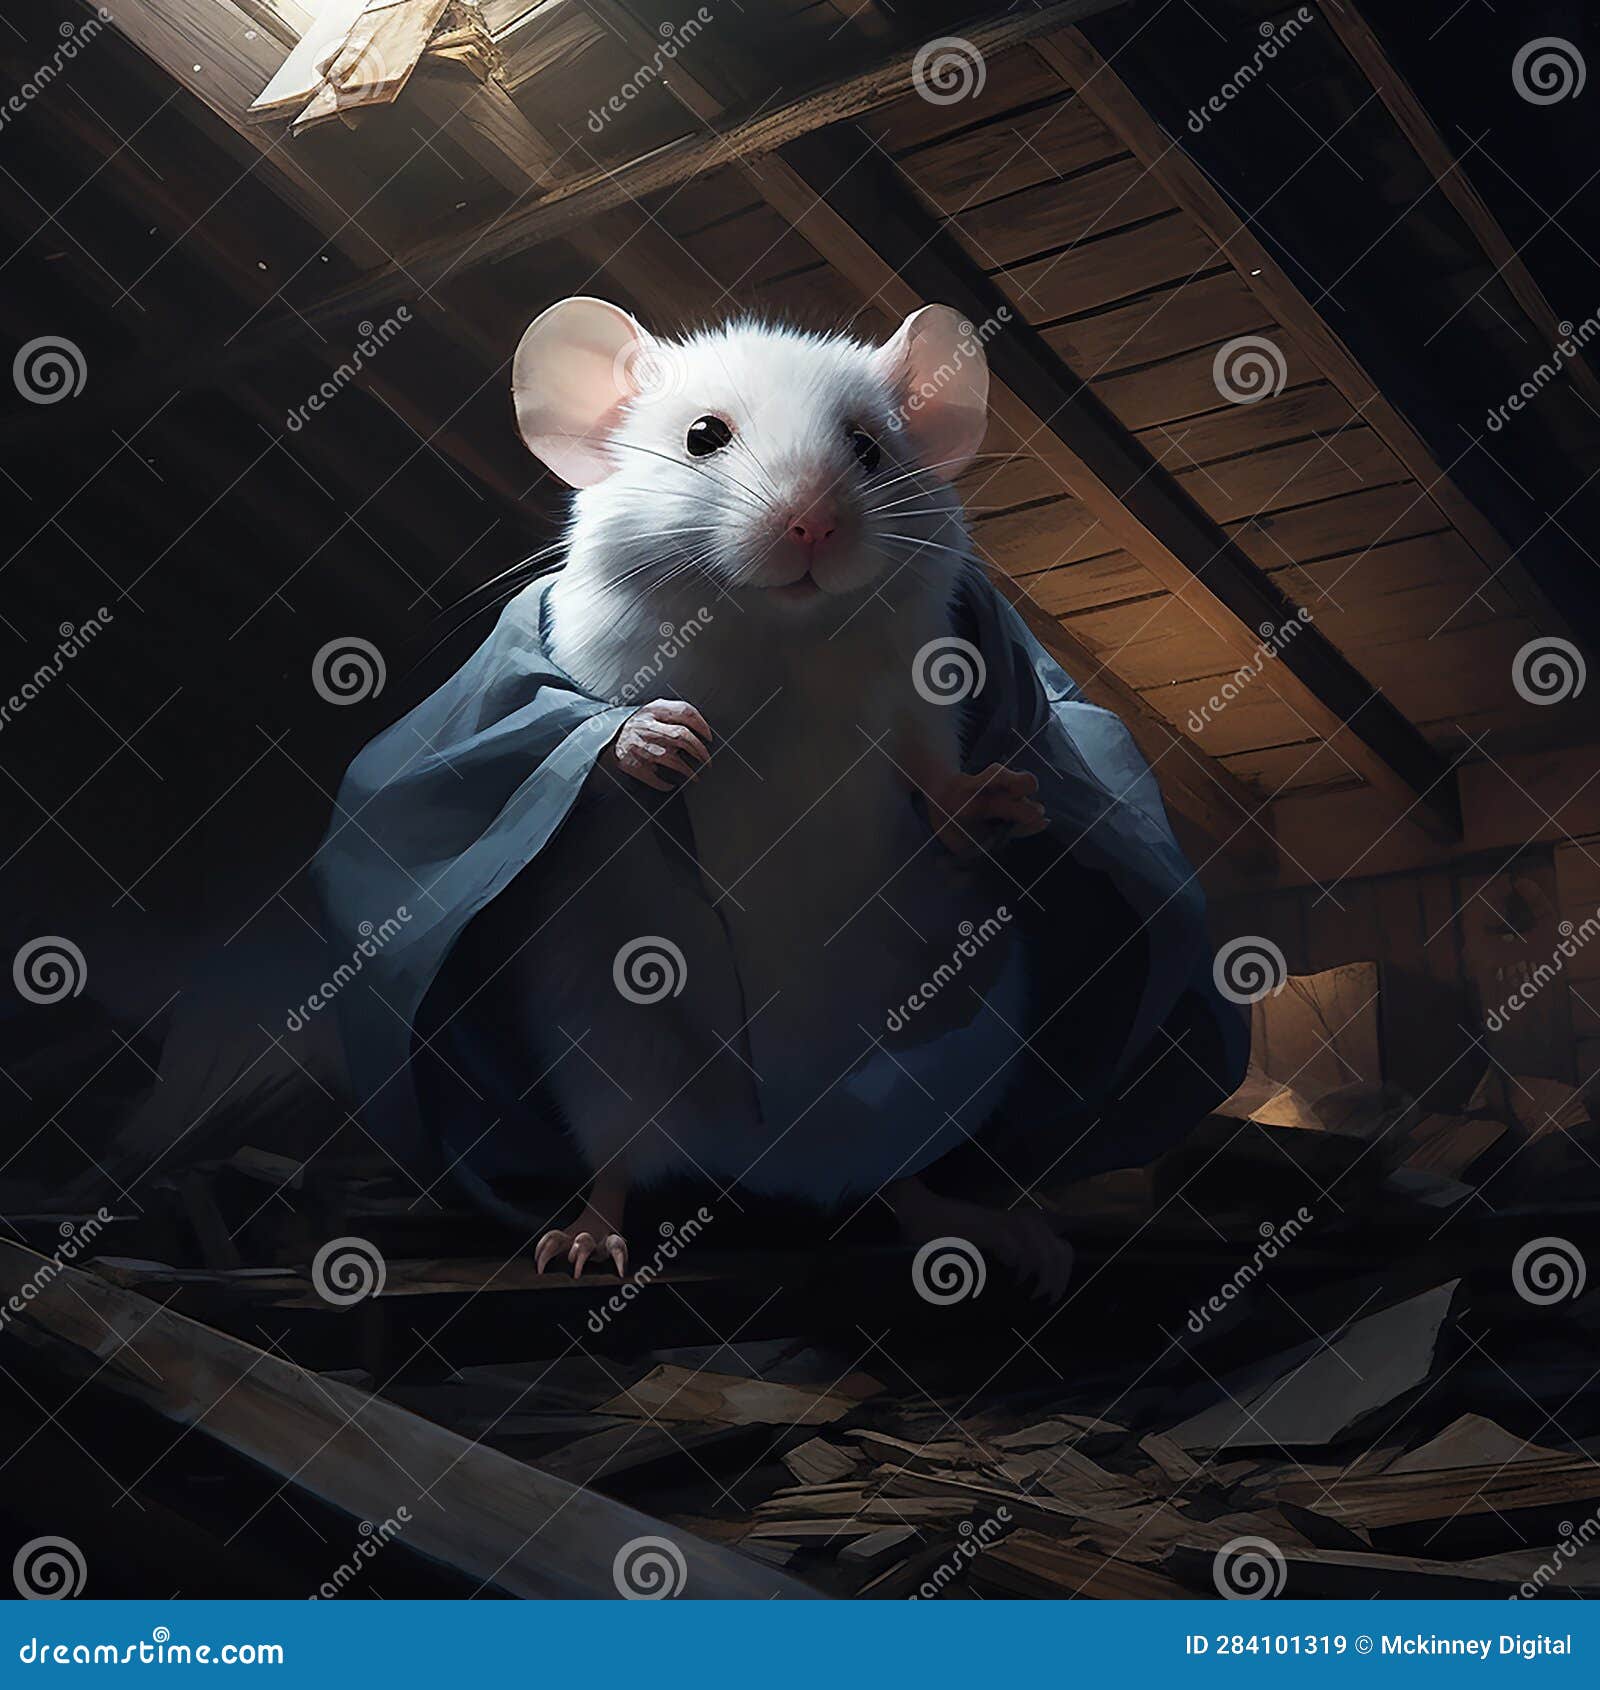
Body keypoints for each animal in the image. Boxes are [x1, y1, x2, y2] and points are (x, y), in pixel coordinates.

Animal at [501, 299, 1069, 1297]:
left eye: (870, 449)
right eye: (702, 436)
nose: (814, 523)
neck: (780, 639)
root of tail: (771, 1158)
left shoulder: (919, 679)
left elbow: (928, 764)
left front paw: (982, 808)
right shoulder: (589, 648)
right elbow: (585, 739)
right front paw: (650, 738)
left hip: (940, 1044)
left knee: (898, 1174)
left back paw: (977, 1220)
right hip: (607, 1037)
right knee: (617, 1151)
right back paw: (588, 1231)